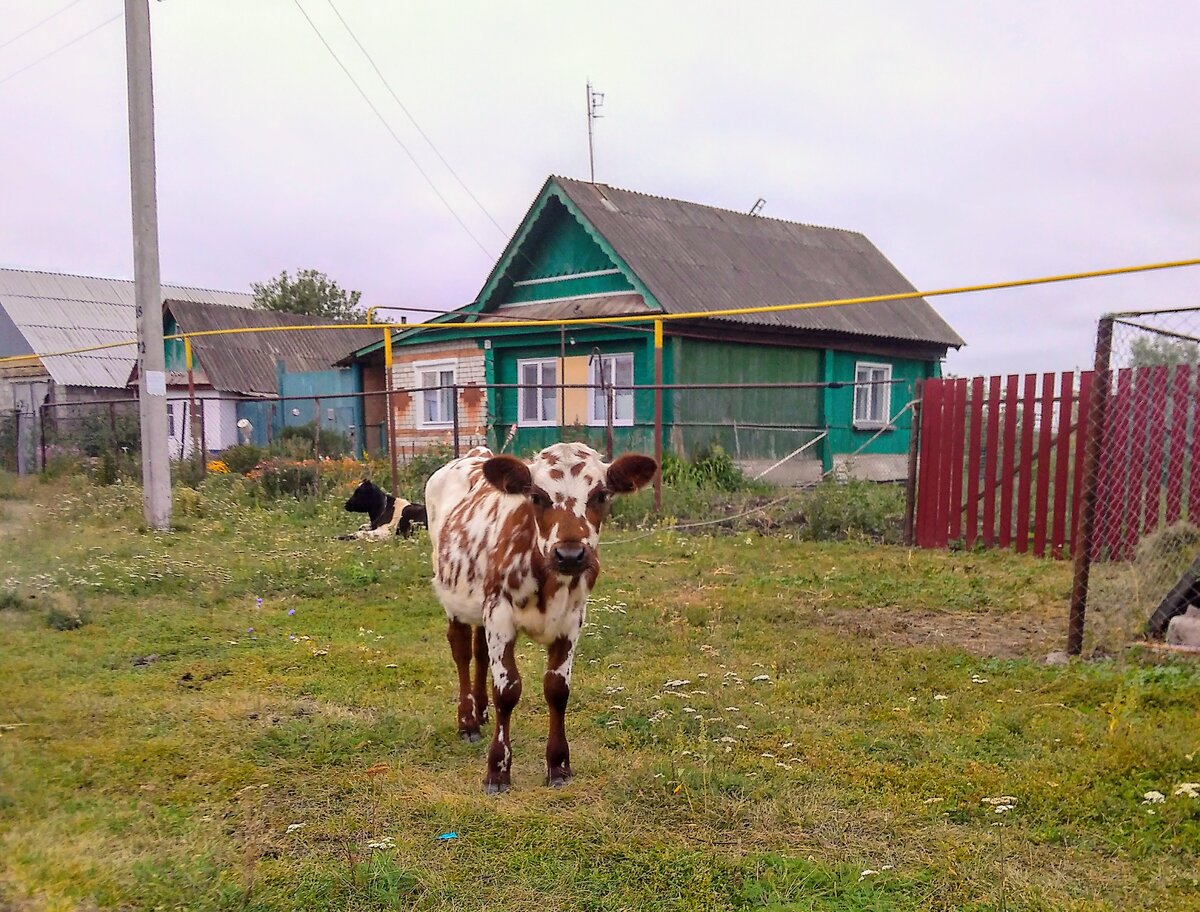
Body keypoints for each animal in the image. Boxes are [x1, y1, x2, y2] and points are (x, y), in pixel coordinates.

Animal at [424, 441, 657, 792]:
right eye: (536, 496)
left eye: (601, 495)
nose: (570, 555)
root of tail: (475, 453)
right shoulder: (500, 614)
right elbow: (507, 690)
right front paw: (497, 769)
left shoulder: (572, 620)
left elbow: (557, 689)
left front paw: (558, 765)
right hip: (453, 598)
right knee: (462, 651)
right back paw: (467, 721)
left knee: (480, 652)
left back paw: (480, 712)